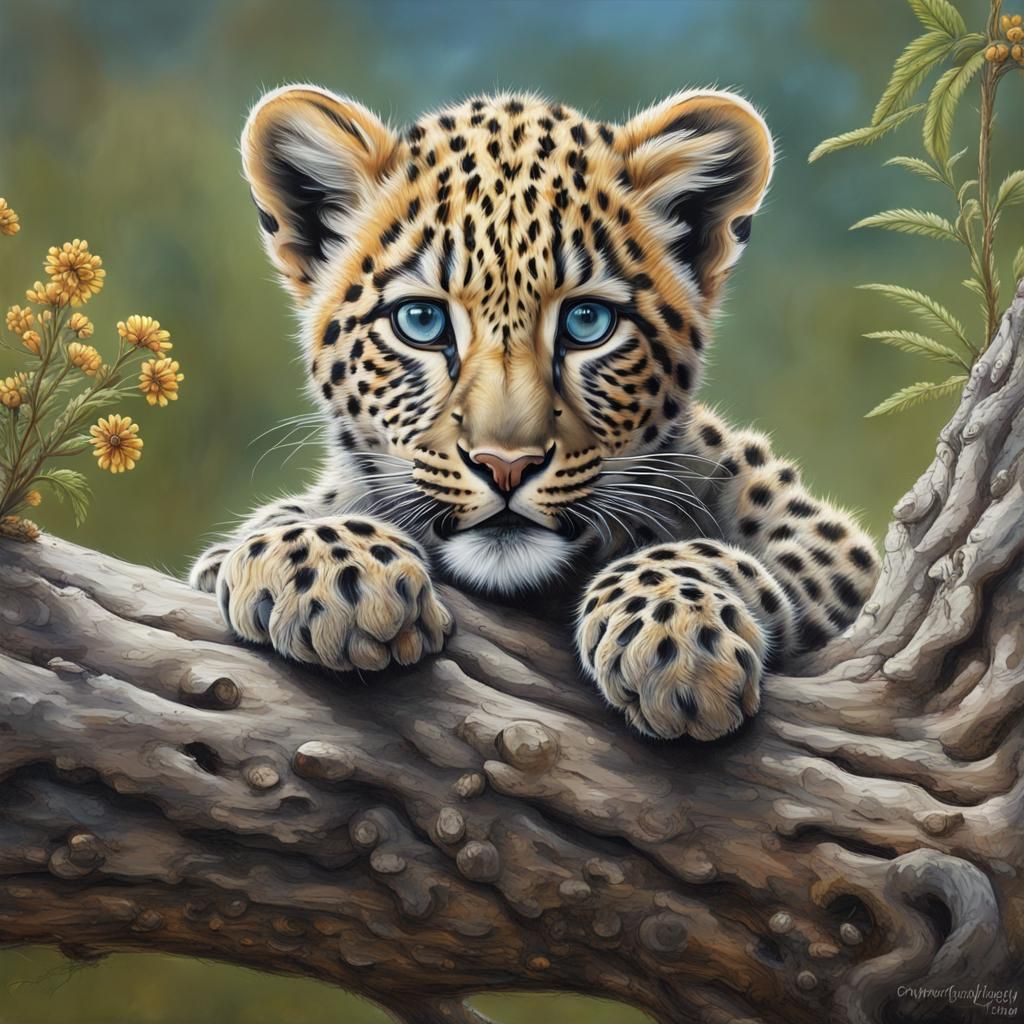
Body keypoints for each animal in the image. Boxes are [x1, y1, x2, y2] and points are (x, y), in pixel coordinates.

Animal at [190, 84, 880, 742]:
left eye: (587, 322)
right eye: (422, 320)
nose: (505, 465)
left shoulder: (831, 545)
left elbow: (718, 554)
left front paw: (678, 642)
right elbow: (273, 528)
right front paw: (332, 566)